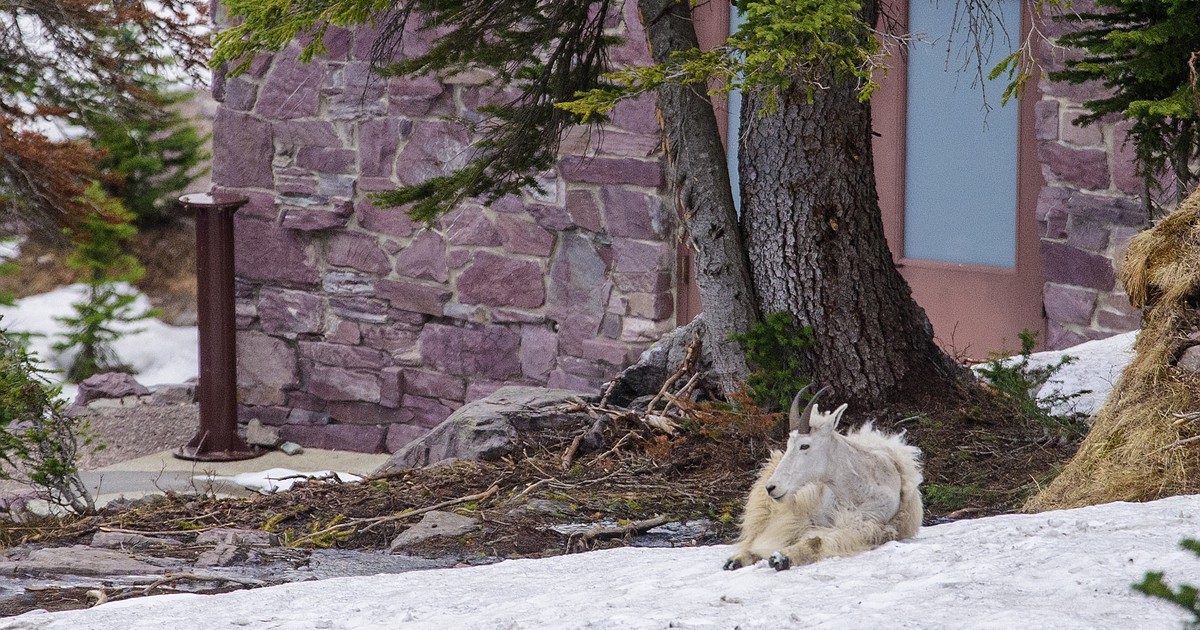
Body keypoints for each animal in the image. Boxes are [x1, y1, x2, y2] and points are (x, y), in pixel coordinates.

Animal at [723, 386, 923, 571]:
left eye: (805, 445)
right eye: (788, 444)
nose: (771, 487)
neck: (857, 490)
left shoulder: (865, 525)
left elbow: (817, 540)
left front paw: (782, 557)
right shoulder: (801, 514)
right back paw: (736, 560)